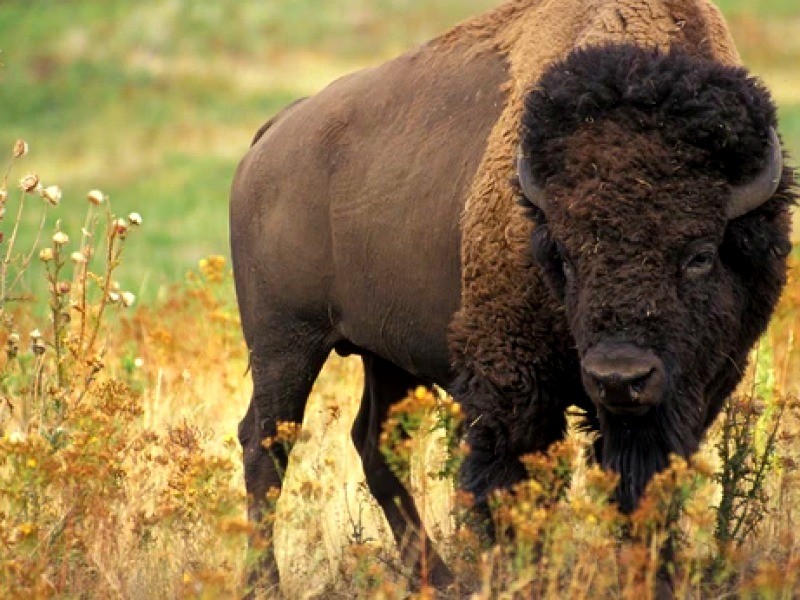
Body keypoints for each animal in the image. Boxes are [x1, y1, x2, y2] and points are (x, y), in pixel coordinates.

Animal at [230, 0, 795, 591]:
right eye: (564, 256)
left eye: (701, 255)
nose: (619, 377)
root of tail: (273, 135)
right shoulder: (512, 384)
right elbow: (512, 484)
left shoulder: (692, 391)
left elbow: (644, 487)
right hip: (285, 343)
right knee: (266, 444)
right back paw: (266, 583)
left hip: (385, 356)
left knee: (374, 444)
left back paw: (438, 579)